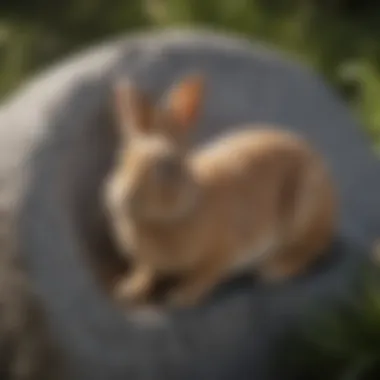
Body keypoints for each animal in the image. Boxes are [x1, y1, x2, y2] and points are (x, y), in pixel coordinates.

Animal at [104, 74, 336, 308]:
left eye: (169, 166)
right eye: (122, 158)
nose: (122, 197)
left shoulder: (222, 254)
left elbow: (204, 276)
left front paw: (181, 297)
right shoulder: (148, 261)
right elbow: (145, 271)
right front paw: (128, 290)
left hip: (306, 209)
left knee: (313, 247)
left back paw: (276, 269)